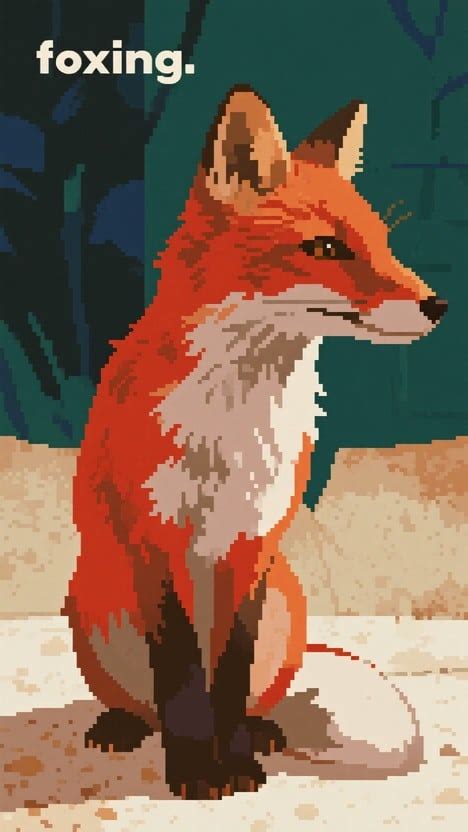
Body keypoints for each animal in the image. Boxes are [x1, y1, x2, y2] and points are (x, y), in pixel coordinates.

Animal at [65, 86, 447, 799]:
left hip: (286, 604)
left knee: (259, 695)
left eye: (383, 243)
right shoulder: (155, 539)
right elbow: (183, 679)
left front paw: (237, 761)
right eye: (326, 247)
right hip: (92, 597)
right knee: (143, 703)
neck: (233, 426)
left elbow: (230, 680)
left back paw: (262, 732)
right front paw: (195, 771)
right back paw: (122, 725)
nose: (438, 305)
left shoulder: (254, 542)